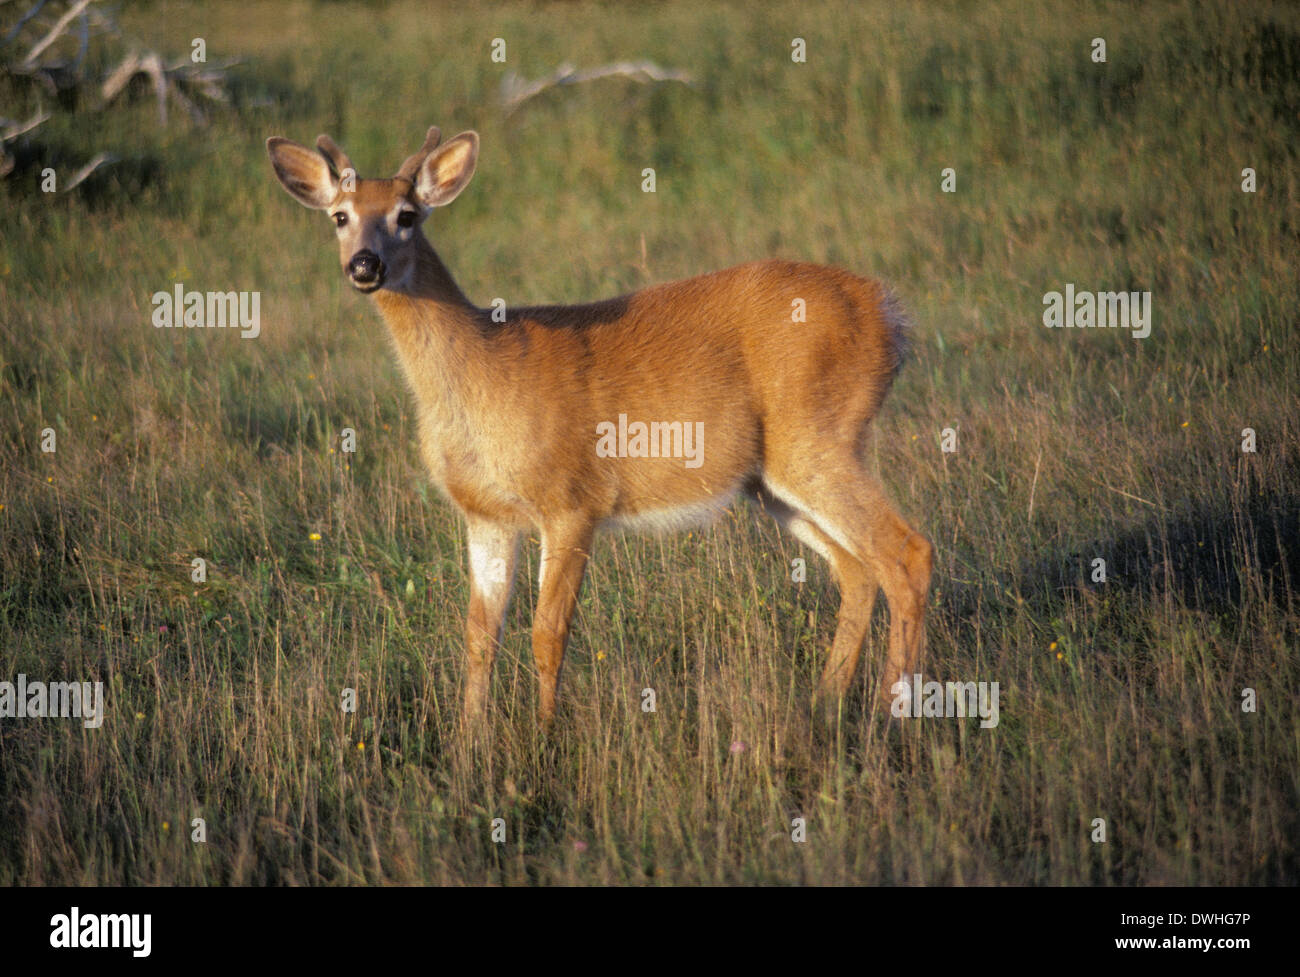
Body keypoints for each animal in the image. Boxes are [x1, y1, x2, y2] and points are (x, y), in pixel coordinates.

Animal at [266, 125, 932, 730]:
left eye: (406, 215)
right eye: (339, 216)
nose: (364, 264)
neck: (485, 371)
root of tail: (890, 313)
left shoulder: (572, 499)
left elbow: (547, 632)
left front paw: (542, 738)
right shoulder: (486, 514)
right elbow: (479, 635)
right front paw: (470, 742)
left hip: (817, 436)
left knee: (906, 551)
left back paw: (892, 715)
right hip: (771, 482)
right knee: (857, 569)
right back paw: (827, 702)